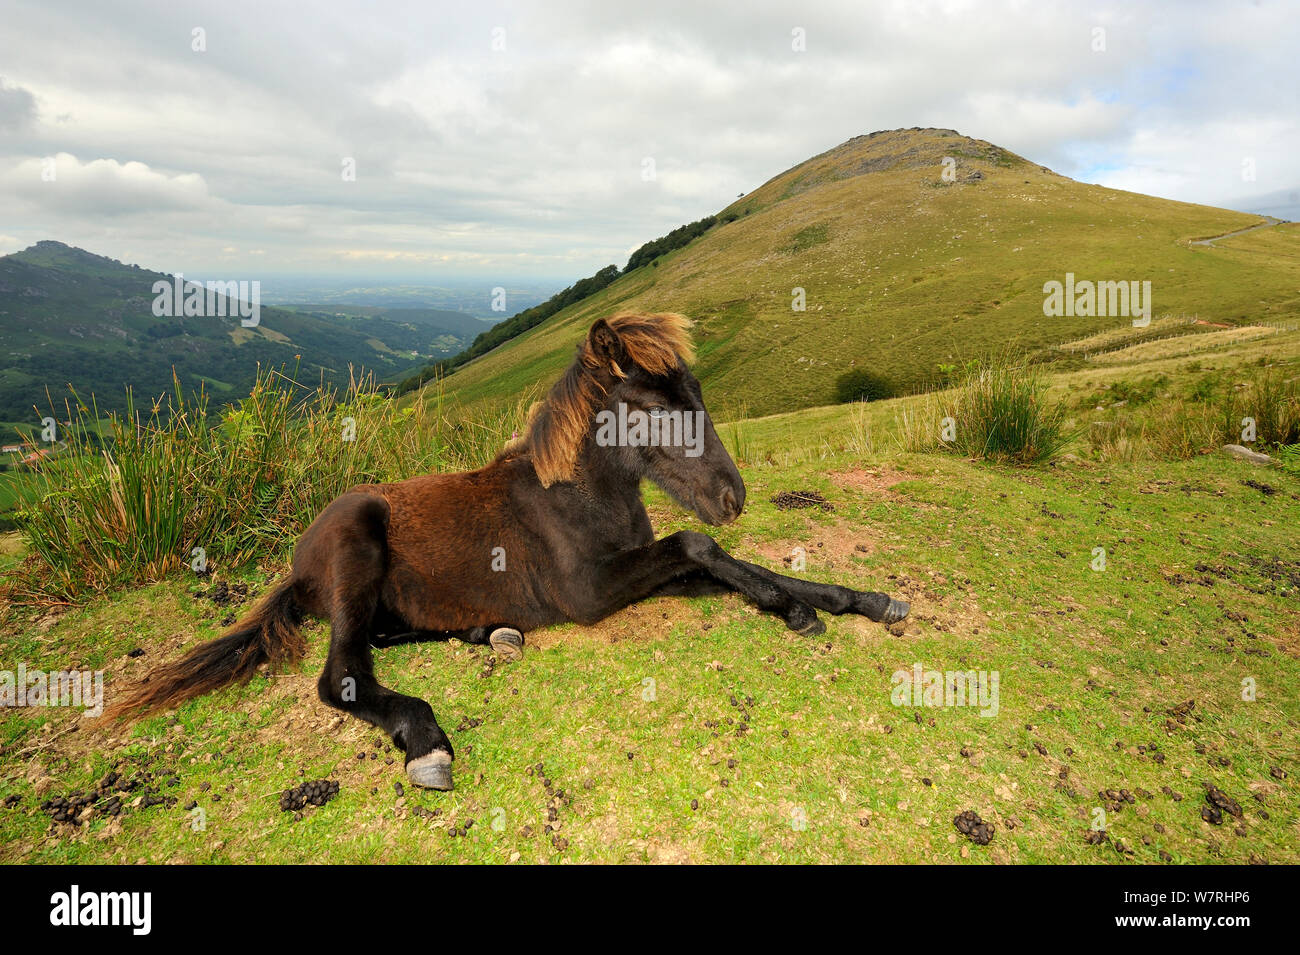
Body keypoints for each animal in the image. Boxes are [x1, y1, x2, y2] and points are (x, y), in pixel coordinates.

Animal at [107, 312, 910, 790]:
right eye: (652, 406)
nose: (733, 496)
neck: (576, 496)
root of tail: (298, 561)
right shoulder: (591, 592)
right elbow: (698, 541)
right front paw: (806, 608)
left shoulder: (646, 572)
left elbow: (728, 566)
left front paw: (851, 601)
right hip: (355, 554)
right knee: (341, 673)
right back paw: (425, 739)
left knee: (385, 637)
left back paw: (490, 630)